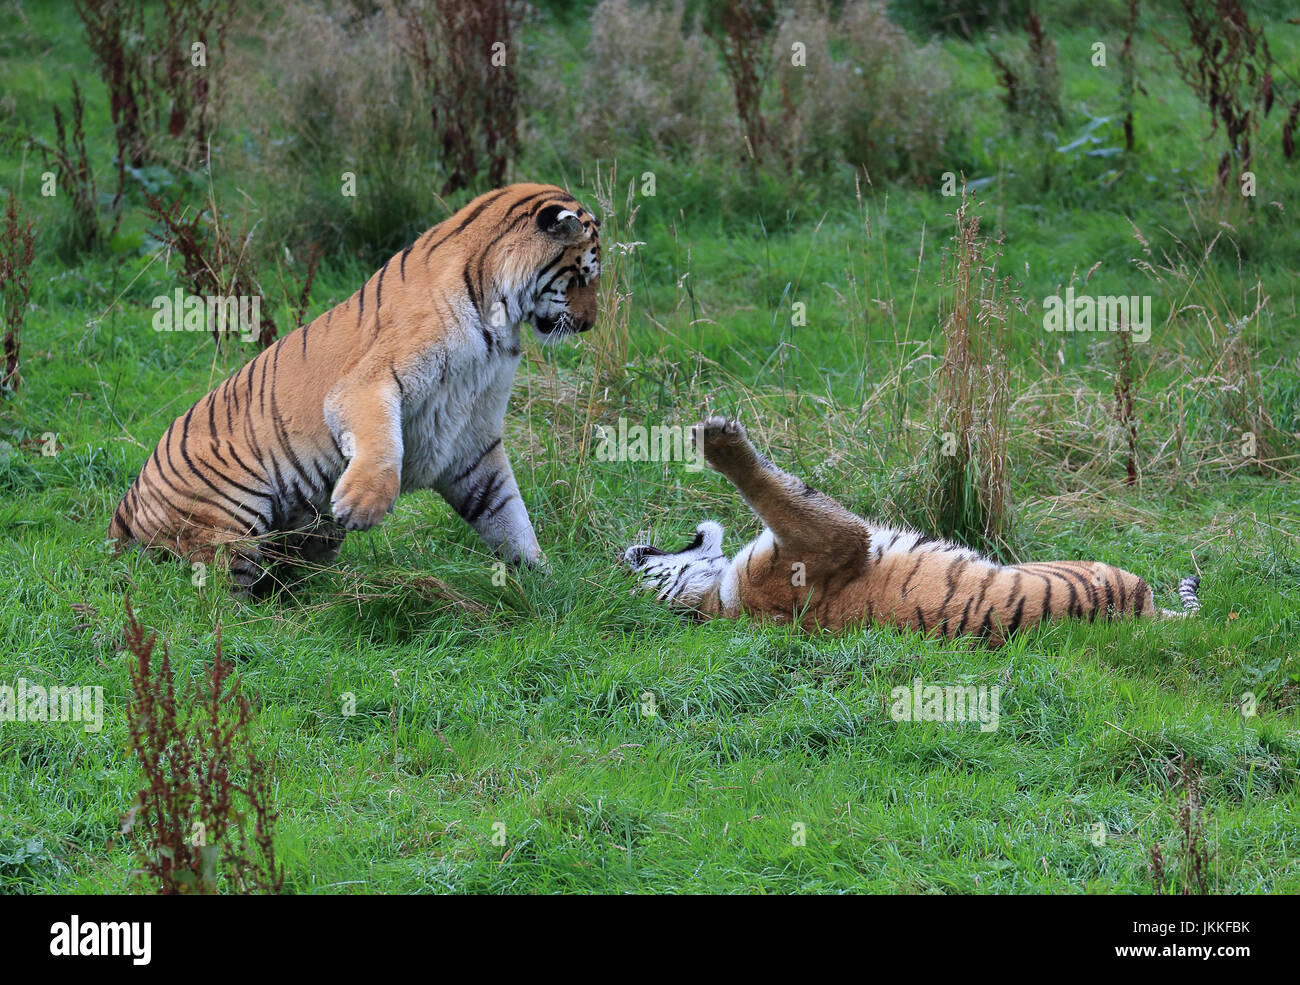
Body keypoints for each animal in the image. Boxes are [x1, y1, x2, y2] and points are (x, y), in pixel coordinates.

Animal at [109, 182, 601, 589]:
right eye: (583, 276)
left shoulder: (473, 440)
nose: (589, 325)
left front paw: (544, 584)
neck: (499, 319)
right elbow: (384, 441)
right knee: (218, 598)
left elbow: (507, 513)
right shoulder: (370, 382)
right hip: (229, 516)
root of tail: (125, 504)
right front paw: (361, 505)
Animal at [624, 417, 1201, 646]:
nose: (628, 552)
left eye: (639, 569)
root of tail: (1142, 614)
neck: (720, 603)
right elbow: (774, 488)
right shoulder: (827, 540)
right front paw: (719, 444)